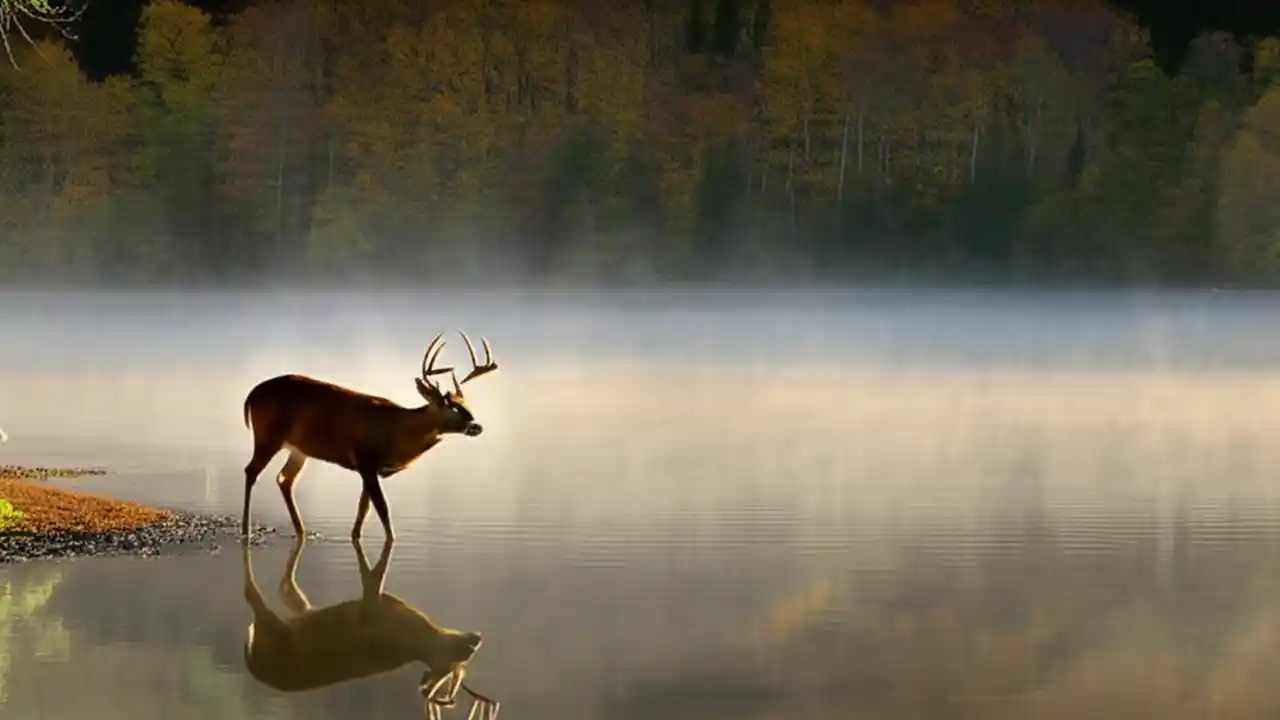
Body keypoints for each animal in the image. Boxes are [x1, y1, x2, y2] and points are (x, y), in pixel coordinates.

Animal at [241, 330, 499, 540]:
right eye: (453, 407)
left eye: (466, 403)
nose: (476, 426)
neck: (399, 430)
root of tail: (251, 394)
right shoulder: (366, 460)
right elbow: (382, 508)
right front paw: (391, 540)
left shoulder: (371, 469)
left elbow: (363, 510)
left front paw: (355, 536)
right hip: (267, 435)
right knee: (252, 471)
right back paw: (246, 531)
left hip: (299, 449)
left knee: (285, 479)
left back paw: (301, 531)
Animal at [242, 537, 500, 719]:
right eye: (448, 669)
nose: (476, 639)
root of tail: (251, 661)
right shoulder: (374, 601)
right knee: (252, 592)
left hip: (267, 625)